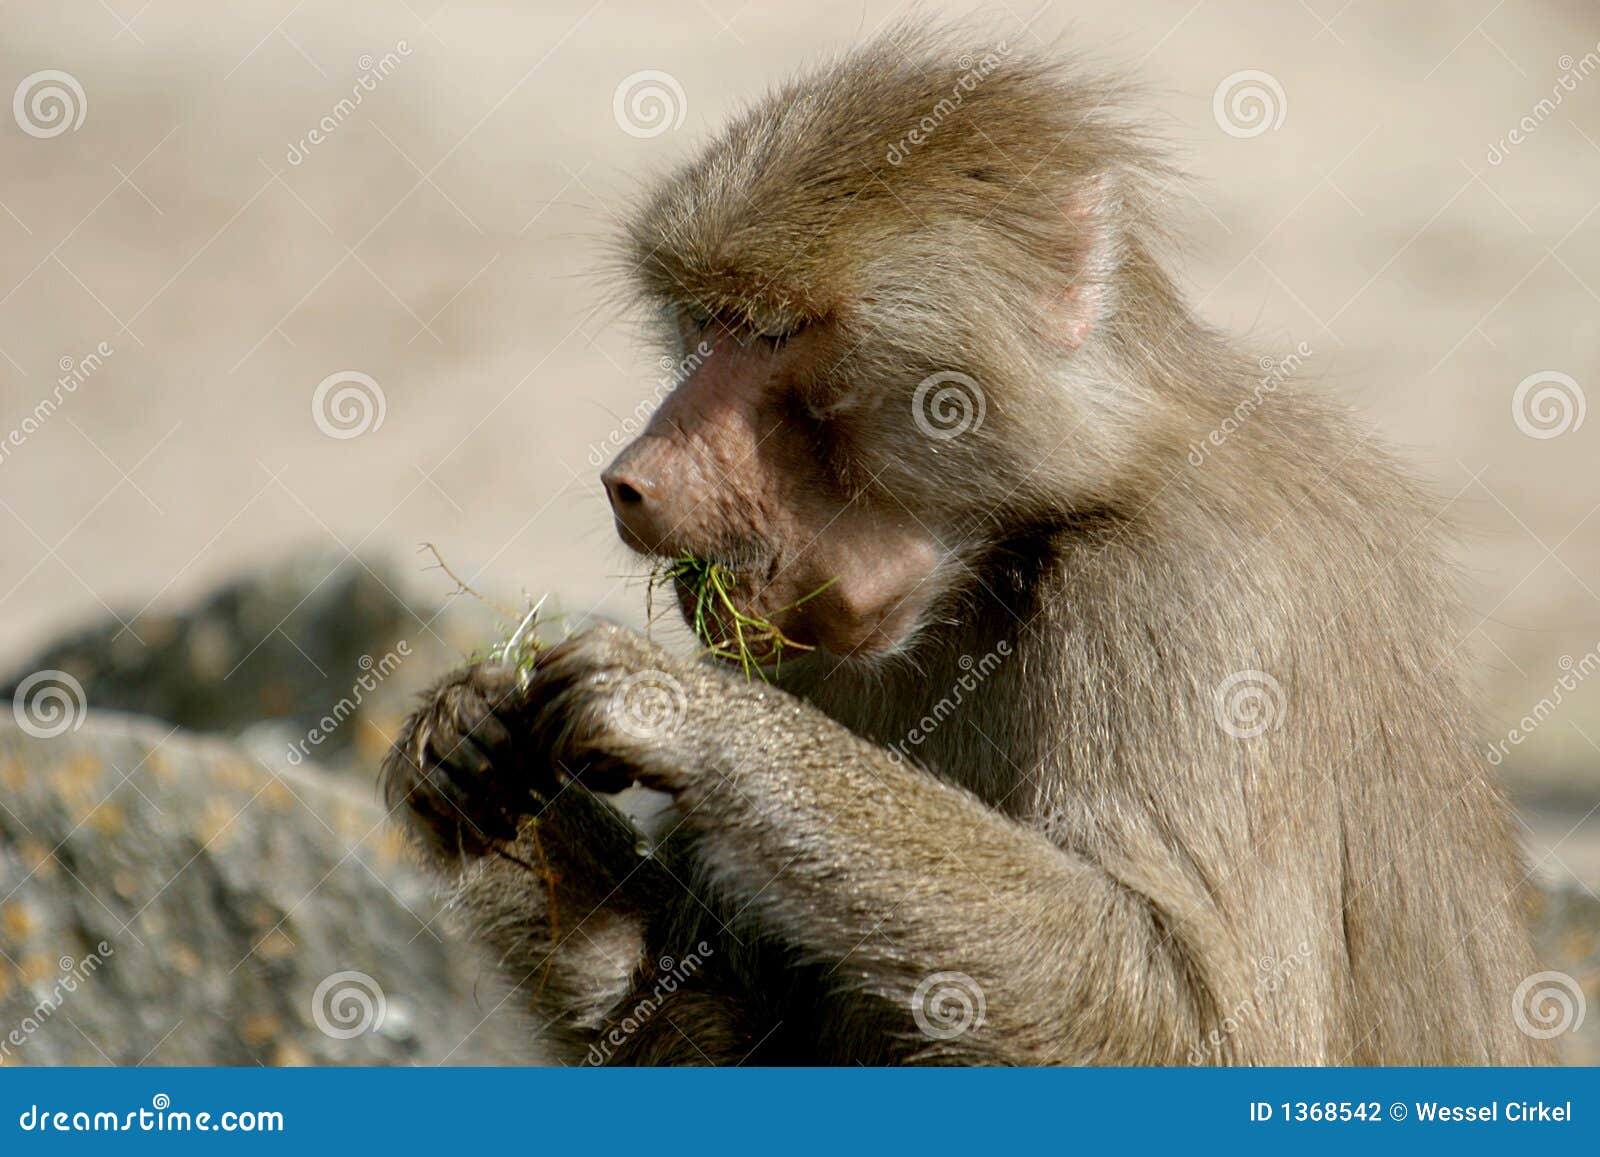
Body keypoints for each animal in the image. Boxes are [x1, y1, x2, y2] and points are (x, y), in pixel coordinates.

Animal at [382, 25, 1551, 1065]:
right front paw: (470, 744)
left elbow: (1203, 1025)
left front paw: (690, 719)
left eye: (770, 331)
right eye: (700, 322)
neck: (1016, 549)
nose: (634, 478)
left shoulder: (1197, 594)